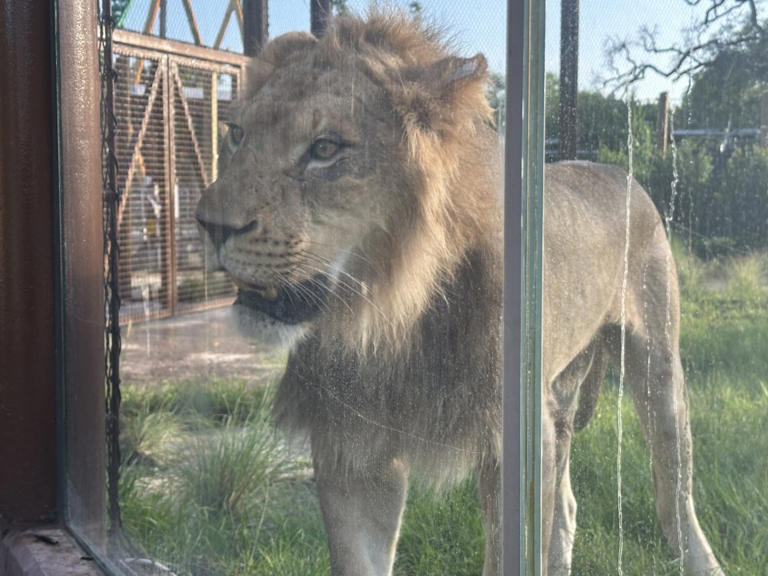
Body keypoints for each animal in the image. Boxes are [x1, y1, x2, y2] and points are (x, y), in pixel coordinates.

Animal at [195, 12, 724, 576]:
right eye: (236, 134)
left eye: (325, 149)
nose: (209, 225)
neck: (389, 319)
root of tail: (622, 173)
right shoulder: (351, 446)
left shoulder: (518, 439)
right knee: (567, 501)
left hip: (658, 367)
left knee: (675, 490)